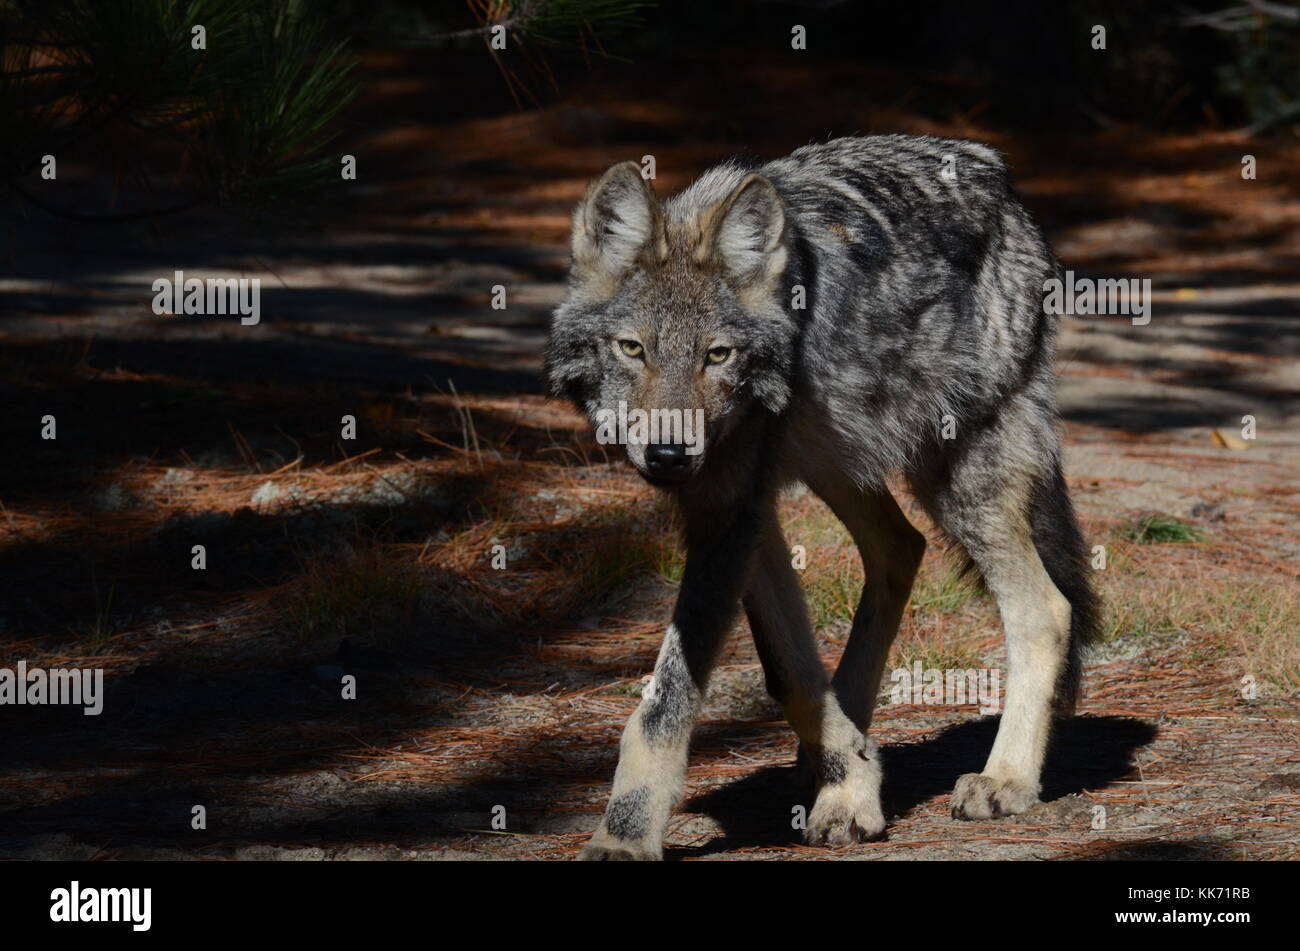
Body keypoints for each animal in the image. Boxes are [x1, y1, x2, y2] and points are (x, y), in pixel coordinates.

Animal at [544, 135, 1099, 860]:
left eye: (716, 356)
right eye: (632, 349)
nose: (670, 455)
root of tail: (1000, 176)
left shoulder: (731, 518)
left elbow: (667, 703)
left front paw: (626, 832)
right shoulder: (734, 513)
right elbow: (792, 674)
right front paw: (851, 781)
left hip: (956, 480)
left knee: (1047, 609)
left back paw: (1006, 778)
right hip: (838, 458)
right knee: (900, 546)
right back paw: (838, 750)